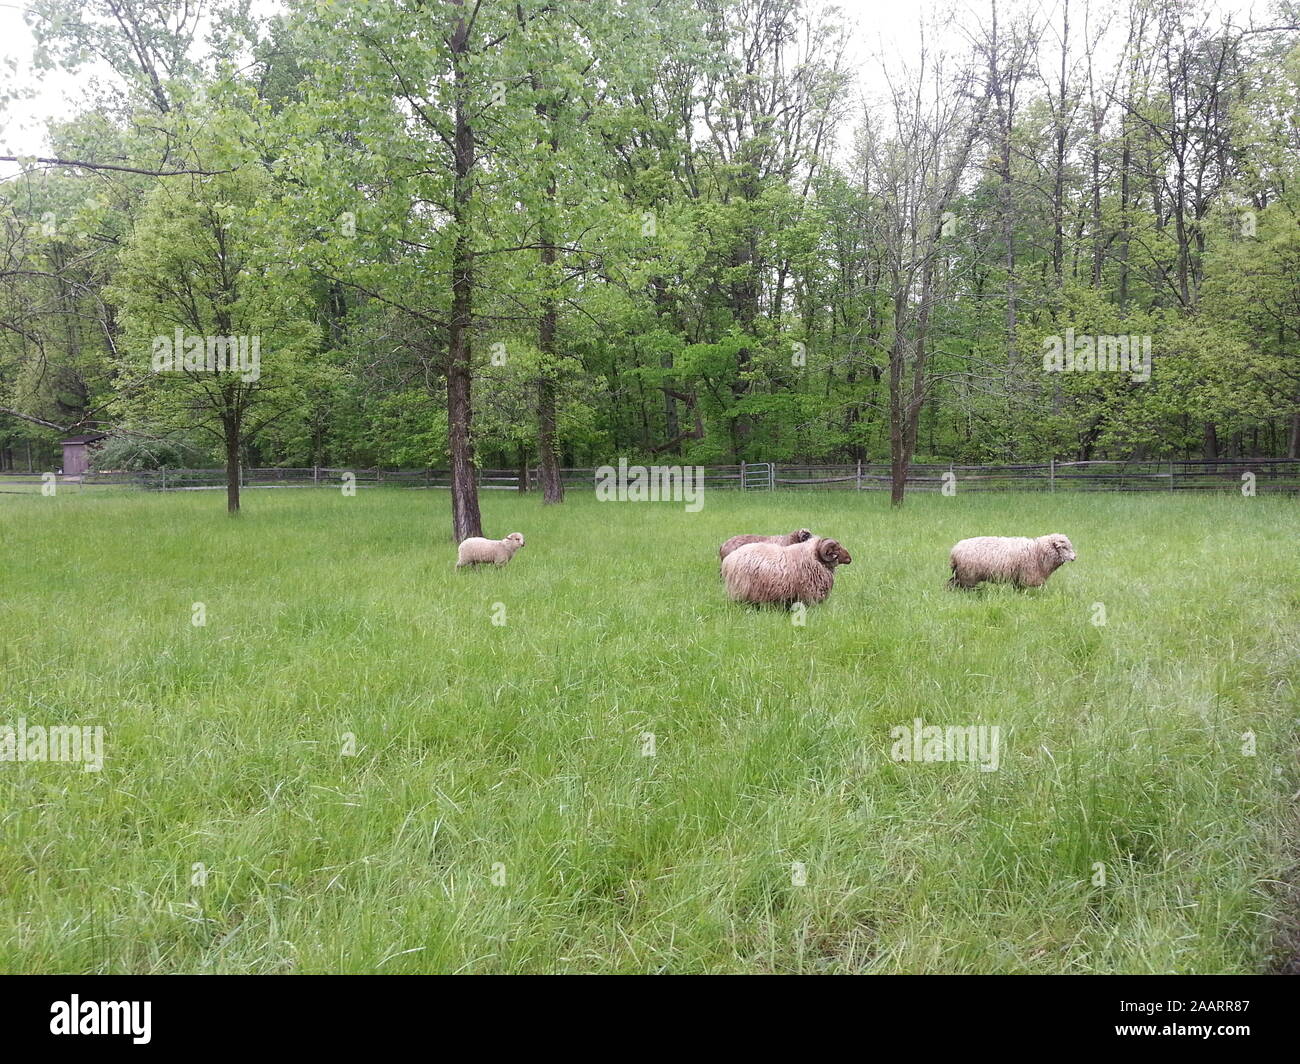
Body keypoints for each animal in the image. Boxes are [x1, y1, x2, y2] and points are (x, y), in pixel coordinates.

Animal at [721, 535, 852, 607]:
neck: (814, 558)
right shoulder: (809, 595)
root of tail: (728, 560)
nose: (850, 558)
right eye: (836, 549)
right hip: (741, 590)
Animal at [947, 533, 1076, 590]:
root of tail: (954, 551)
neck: (1037, 551)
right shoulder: (1025, 576)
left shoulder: (1018, 578)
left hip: (961, 574)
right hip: (968, 575)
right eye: (1064, 547)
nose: (1075, 557)